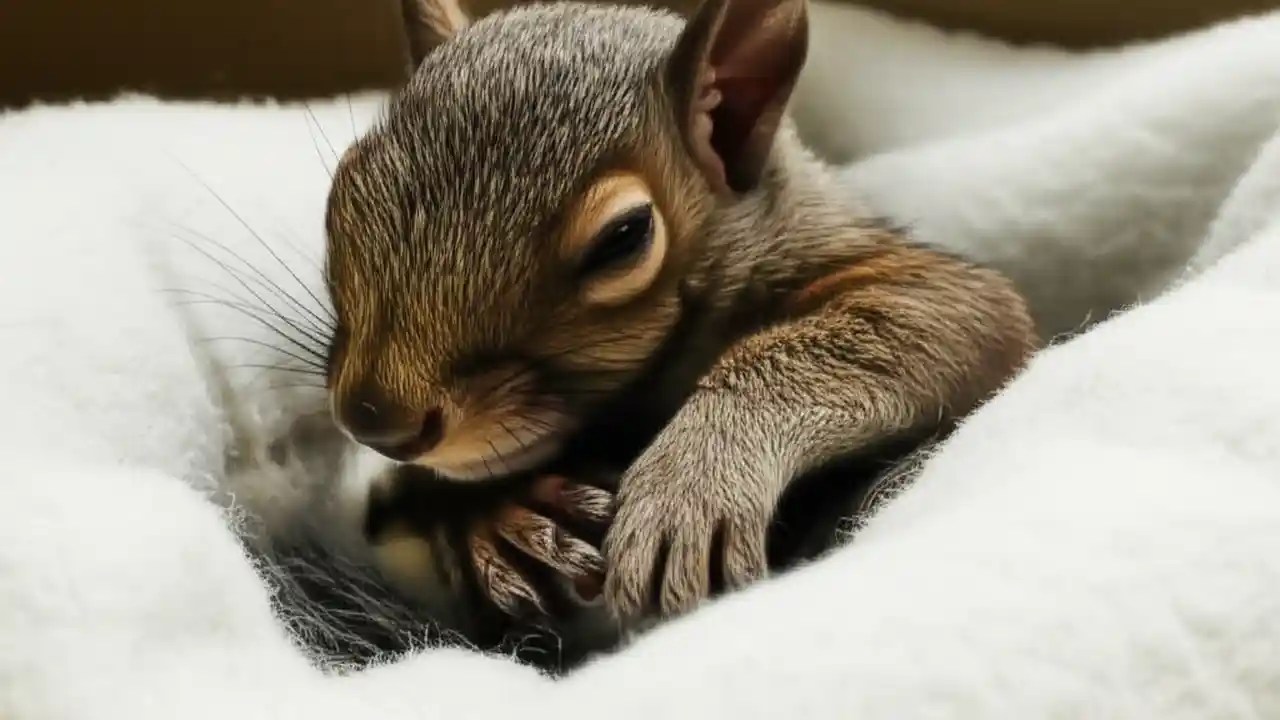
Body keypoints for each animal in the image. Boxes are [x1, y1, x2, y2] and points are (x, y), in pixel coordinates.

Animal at [322, 0, 1039, 637]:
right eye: (342, 192)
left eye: (623, 238)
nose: (375, 420)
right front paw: (494, 515)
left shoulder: (916, 279)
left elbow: (954, 317)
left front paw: (690, 486)